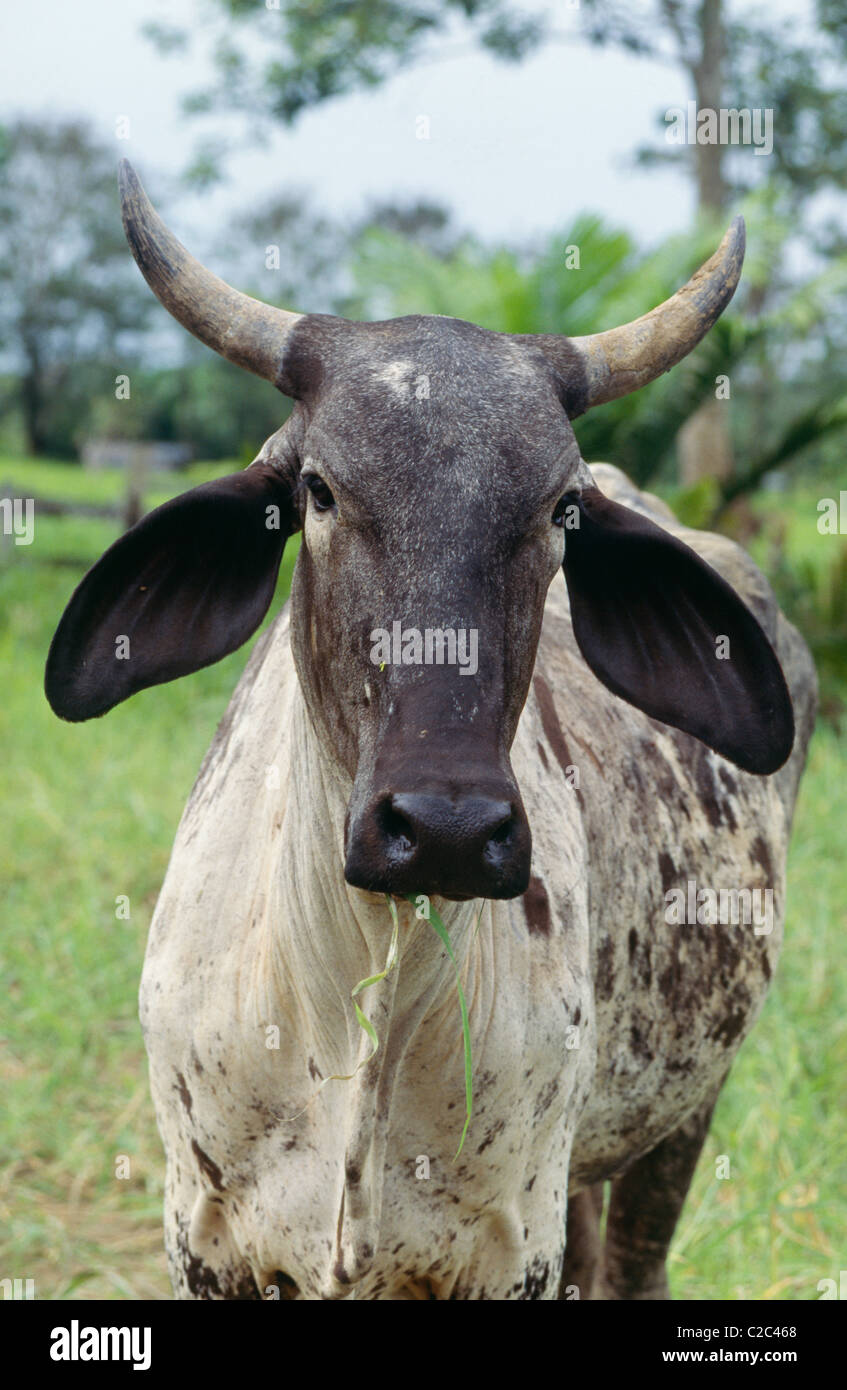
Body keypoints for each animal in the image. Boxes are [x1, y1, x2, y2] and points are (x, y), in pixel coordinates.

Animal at [45, 160, 816, 1300]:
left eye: (560, 511)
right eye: (318, 490)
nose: (446, 828)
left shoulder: (511, 1251)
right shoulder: (204, 1239)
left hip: (678, 1119)